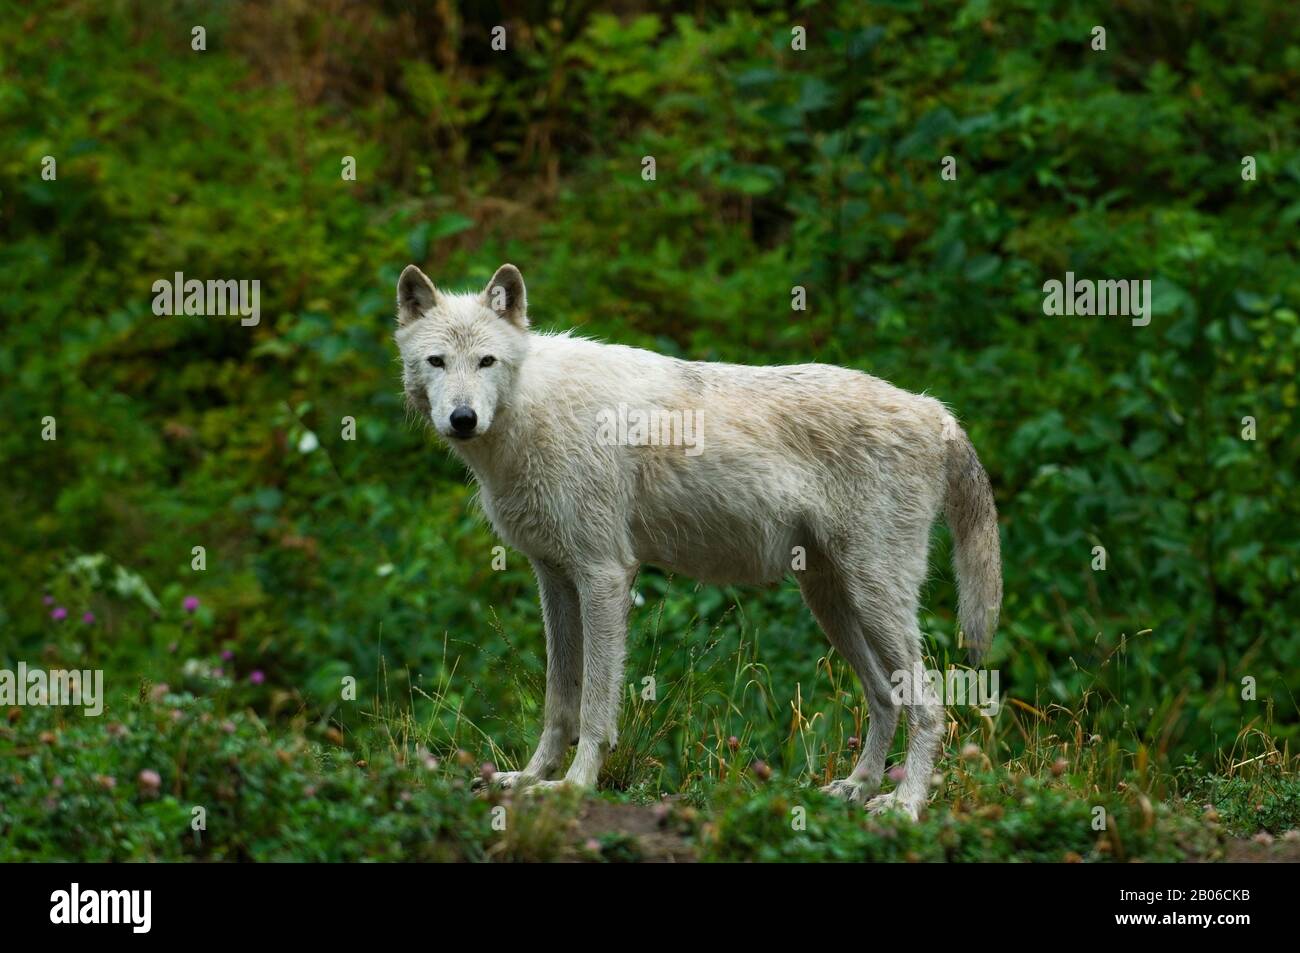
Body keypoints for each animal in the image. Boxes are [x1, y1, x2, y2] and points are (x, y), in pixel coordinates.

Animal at [394, 262, 1002, 818]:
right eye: (436, 361)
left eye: (487, 362)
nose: (463, 417)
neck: (529, 413)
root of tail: (937, 410)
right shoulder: (555, 578)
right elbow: (557, 704)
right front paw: (527, 778)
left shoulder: (604, 575)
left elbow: (593, 709)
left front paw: (574, 786)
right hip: (832, 599)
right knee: (883, 696)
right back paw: (857, 787)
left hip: (873, 594)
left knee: (931, 703)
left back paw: (905, 804)